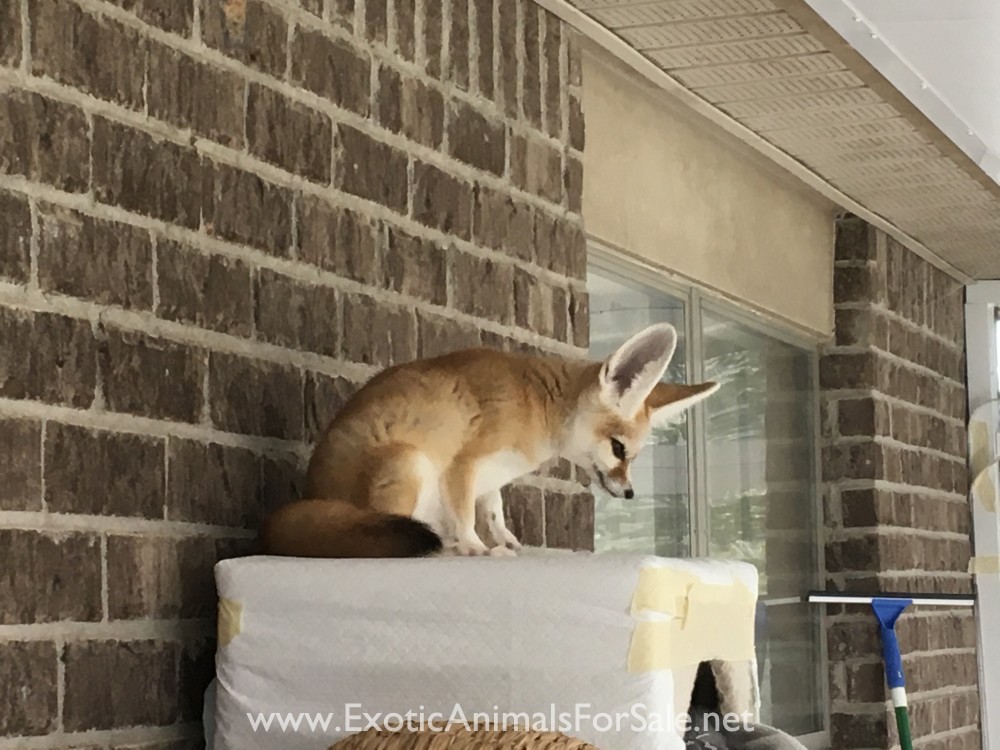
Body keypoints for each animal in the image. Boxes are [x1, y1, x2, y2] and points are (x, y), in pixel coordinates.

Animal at [257, 322, 719, 558]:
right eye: (619, 450)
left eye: (634, 456)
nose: (629, 493)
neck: (537, 402)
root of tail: (310, 499)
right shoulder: (464, 463)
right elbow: (465, 516)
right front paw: (476, 546)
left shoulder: (491, 475)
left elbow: (494, 509)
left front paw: (506, 539)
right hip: (409, 461)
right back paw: (446, 549)